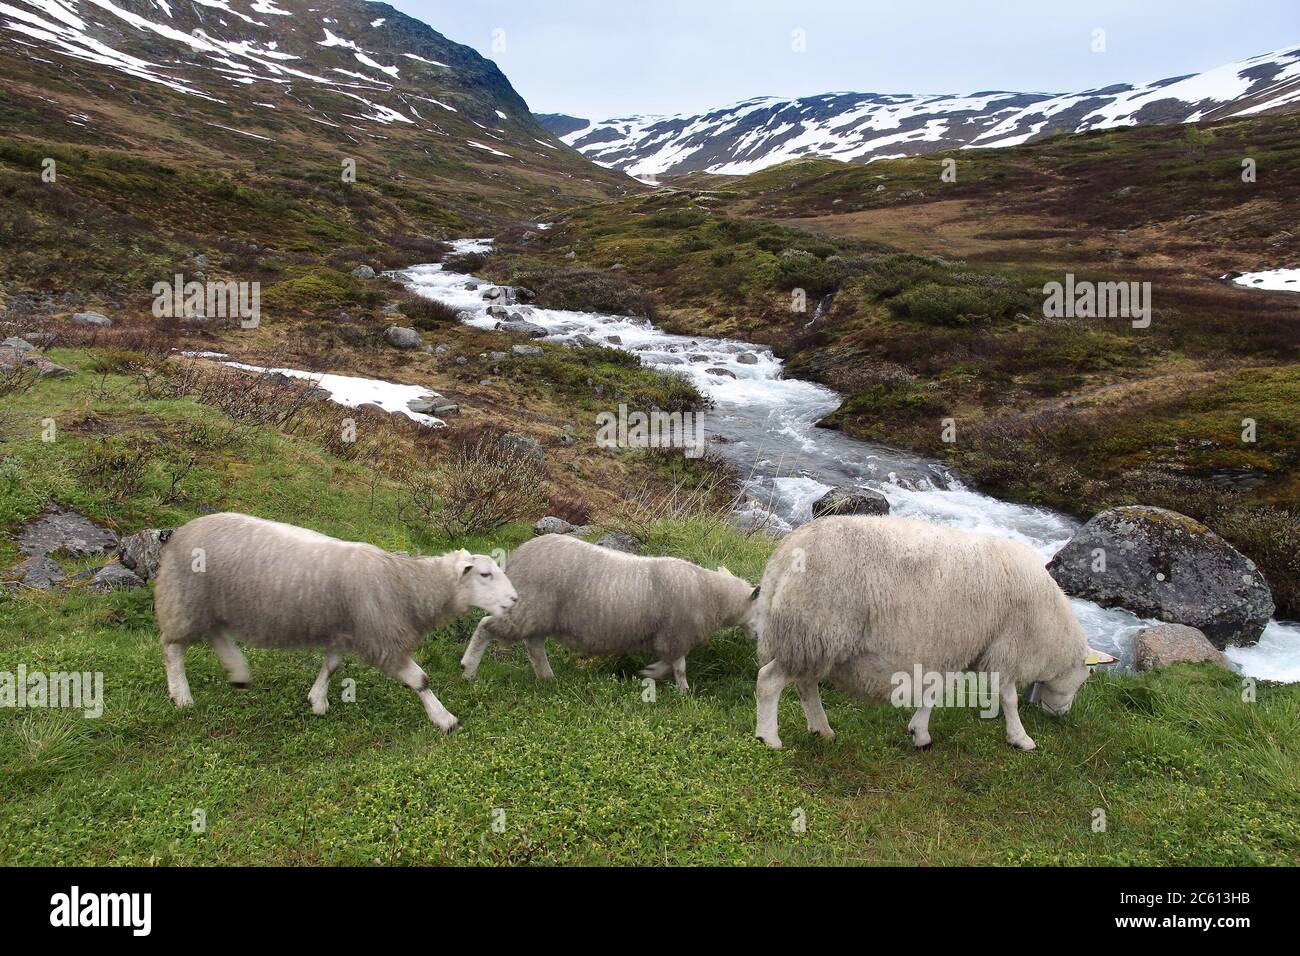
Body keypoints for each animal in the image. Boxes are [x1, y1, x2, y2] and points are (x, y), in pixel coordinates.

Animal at [153, 512, 517, 731]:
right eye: (485, 574)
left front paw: (317, 700)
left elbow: (331, 666)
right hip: (184, 598)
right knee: (173, 648)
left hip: (210, 602)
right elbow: (420, 680)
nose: (515, 599)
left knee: (216, 634)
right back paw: (181, 695)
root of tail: (180, 531)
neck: (405, 585)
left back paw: (238, 671)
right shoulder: (381, 638)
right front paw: (445, 718)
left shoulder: (347, 632)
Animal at [460, 534, 755, 691]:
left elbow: (667, 662)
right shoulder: (676, 634)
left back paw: (548, 678)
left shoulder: (664, 637)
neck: (712, 594)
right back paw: (468, 669)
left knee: (534, 646)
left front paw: (650, 673)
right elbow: (679, 666)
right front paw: (684, 692)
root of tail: (518, 555)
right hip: (528, 608)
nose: (756, 638)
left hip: (540, 614)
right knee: (486, 626)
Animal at [752, 515, 1111, 752]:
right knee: (769, 681)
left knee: (805, 684)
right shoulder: (1006, 648)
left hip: (815, 638)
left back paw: (822, 729)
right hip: (812, 630)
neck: (1052, 633)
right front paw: (1021, 738)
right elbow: (1008, 699)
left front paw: (919, 733)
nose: (1062, 715)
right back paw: (769, 737)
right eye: (1090, 675)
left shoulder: (957, 648)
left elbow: (934, 692)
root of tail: (784, 555)